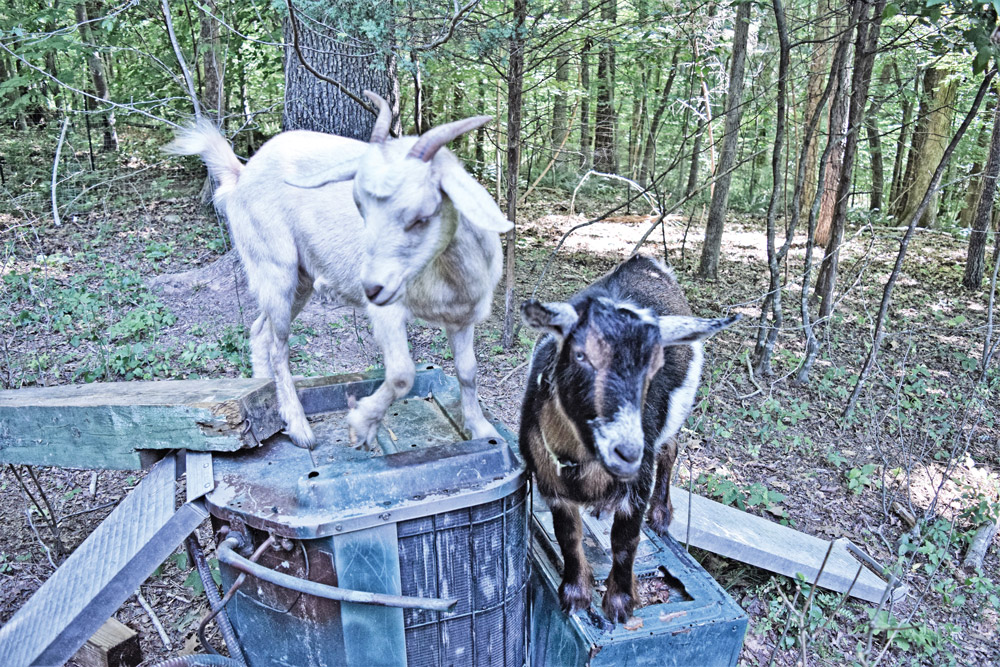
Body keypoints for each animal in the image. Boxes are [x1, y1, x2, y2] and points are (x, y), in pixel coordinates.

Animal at [167, 92, 512, 449]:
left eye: (422, 215)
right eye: (360, 206)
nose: (370, 287)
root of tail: (242, 174)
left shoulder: (462, 317)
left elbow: (468, 371)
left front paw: (483, 429)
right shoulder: (388, 311)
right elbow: (402, 374)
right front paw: (362, 422)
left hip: (301, 281)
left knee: (259, 331)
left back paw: (260, 398)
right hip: (275, 266)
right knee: (278, 344)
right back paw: (298, 425)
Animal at [519, 255, 737, 623]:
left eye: (654, 364)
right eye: (580, 354)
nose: (627, 451)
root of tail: (644, 261)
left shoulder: (637, 486)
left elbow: (625, 542)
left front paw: (620, 604)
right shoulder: (551, 484)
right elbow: (568, 536)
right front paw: (575, 596)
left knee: (670, 448)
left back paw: (661, 515)